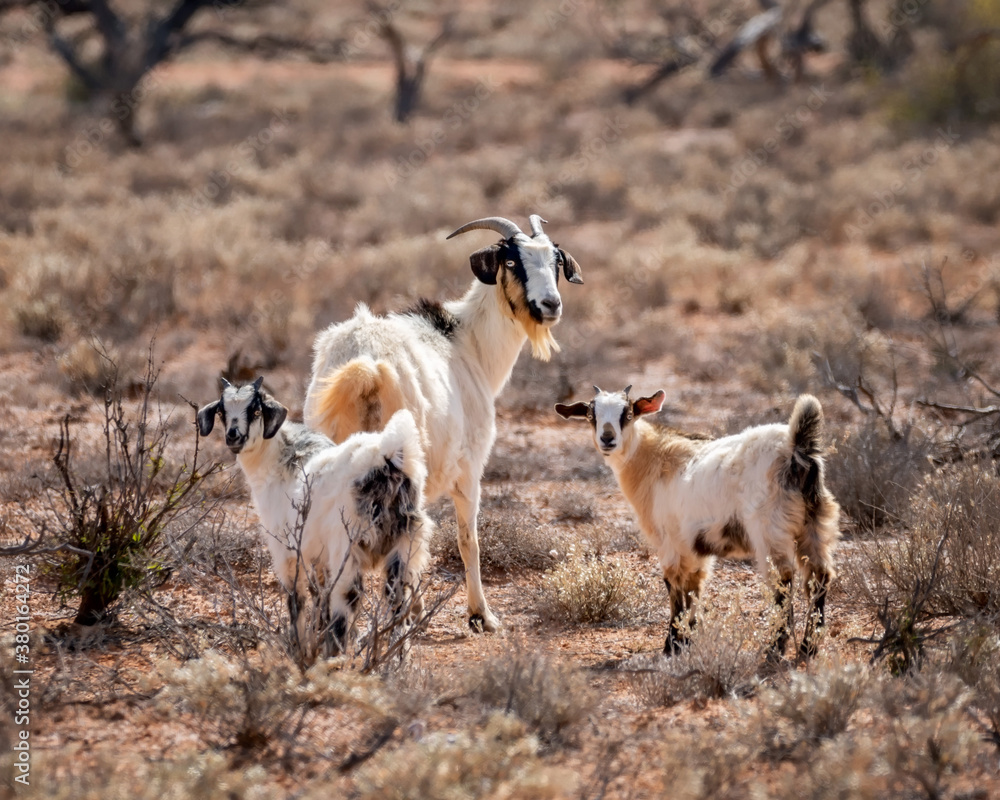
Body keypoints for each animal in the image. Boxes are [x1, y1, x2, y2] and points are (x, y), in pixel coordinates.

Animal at [198, 377, 432, 657]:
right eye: (222, 412)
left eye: (255, 411)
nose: (234, 436)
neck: (281, 459)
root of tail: (387, 457)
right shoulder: (319, 557)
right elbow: (319, 594)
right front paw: (316, 636)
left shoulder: (286, 550)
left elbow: (296, 598)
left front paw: (298, 647)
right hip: (405, 544)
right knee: (396, 600)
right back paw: (396, 660)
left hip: (348, 546)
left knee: (347, 600)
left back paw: (335, 657)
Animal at [304, 214, 583, 633]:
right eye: (512, 261)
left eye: (556, 262)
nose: (550, 305)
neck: (468, 342)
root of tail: (365, 366)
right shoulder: (468, 469)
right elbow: (467, 540)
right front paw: (481, 615)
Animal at [556, 386, 840, 659]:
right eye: (591, 415)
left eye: (627, 414)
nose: (607, 439)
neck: (653, 457)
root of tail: (795, 447)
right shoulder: (695, 546)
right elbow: (694, 587)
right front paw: (686, 639)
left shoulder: (669, 541)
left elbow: (673, 585)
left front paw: (672, 645)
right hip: (815, 525)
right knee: (819, 578)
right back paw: (808, 647)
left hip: (770, 530)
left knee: (783, 582)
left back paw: (775, 649)